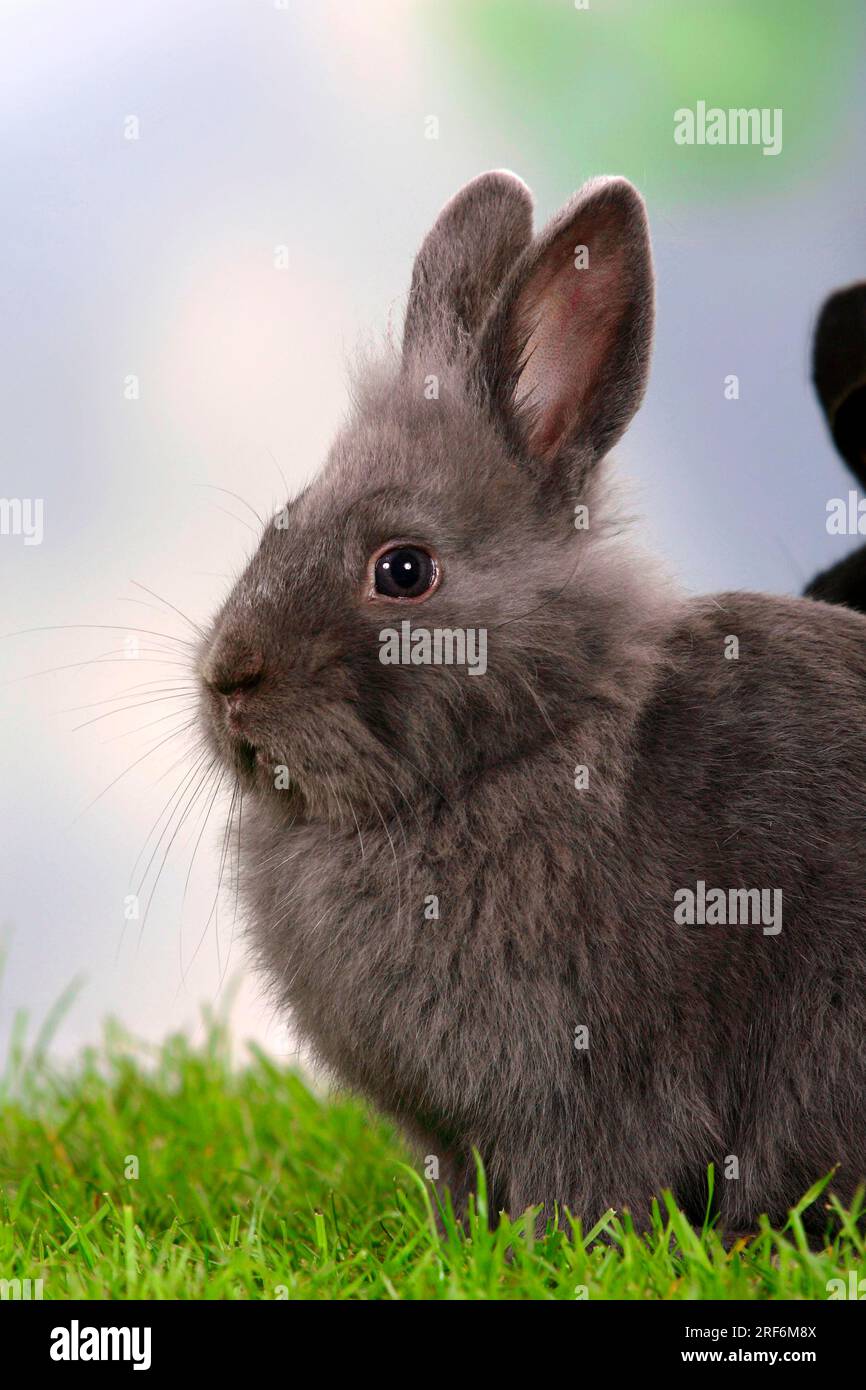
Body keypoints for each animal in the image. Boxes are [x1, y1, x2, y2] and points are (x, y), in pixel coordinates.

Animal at [199, 170, 866, 1238]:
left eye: (404, 570)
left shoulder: (597, 1087)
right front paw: (457, 1250)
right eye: (278, 523)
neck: (519, 748)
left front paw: (551, 1253)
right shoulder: (454, 1137)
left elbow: (589, 1185)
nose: (228, 679)